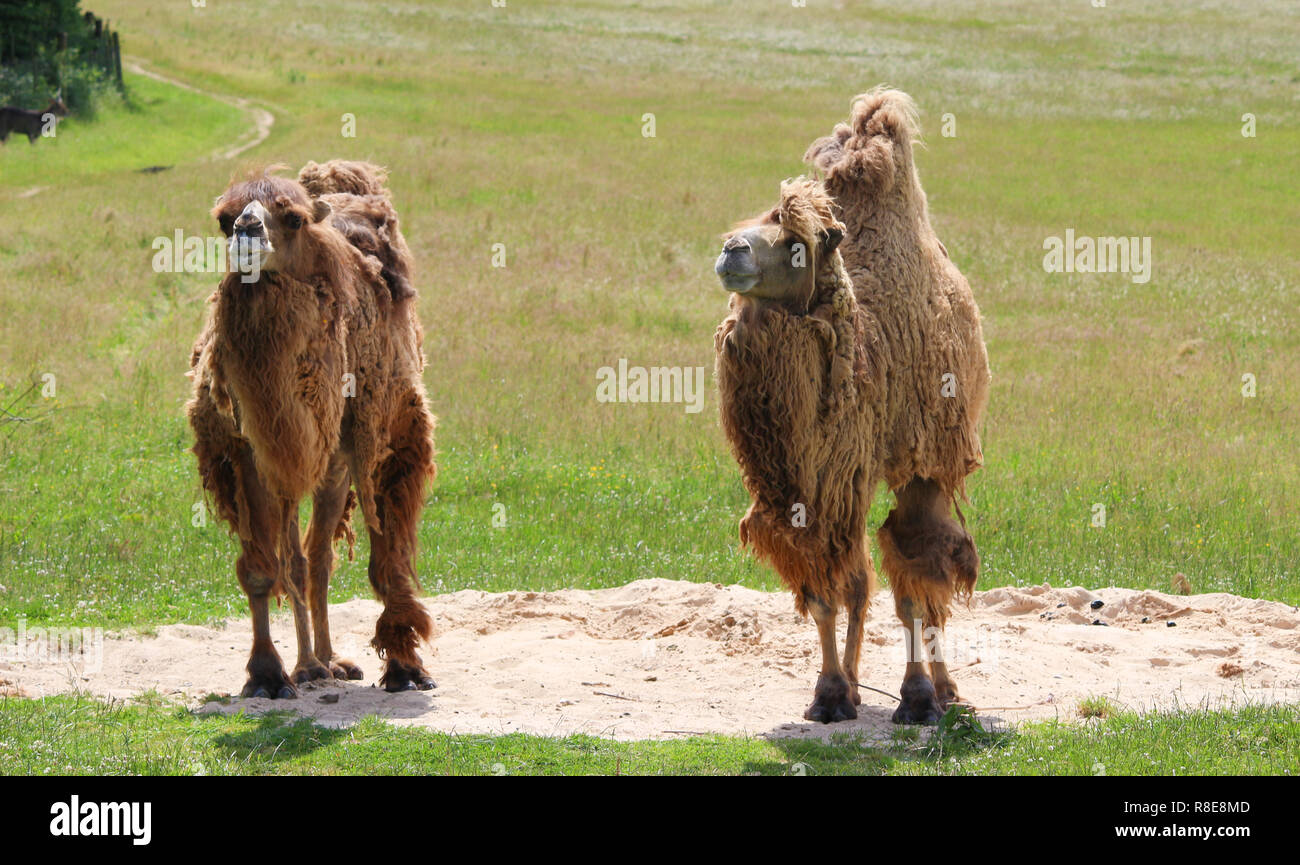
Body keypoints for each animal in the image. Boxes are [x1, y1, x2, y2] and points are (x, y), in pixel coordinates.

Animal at [187, 160, 438, 697]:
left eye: (293, 218)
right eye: (223, 219)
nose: (247, 229)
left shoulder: (373, 446)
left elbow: (385, 557)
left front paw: (405, 668)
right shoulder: (249, 451)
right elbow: (263, 569)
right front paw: (269, 674)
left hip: (347, 459)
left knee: (319, 556)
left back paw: (329, 661)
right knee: (302, 558)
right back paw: (314, 664)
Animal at [713, 88, 990, 724]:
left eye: (797, 244)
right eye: (751, 224)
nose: (731, 251)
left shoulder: (904, 466)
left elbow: (913, 580)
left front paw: (917, 698)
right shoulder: (814, 486)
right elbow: (823, 591)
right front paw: (832, 693)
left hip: (933, 453)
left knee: (927, 575)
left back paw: (945, 688)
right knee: (860, 583)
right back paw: (864, 685)